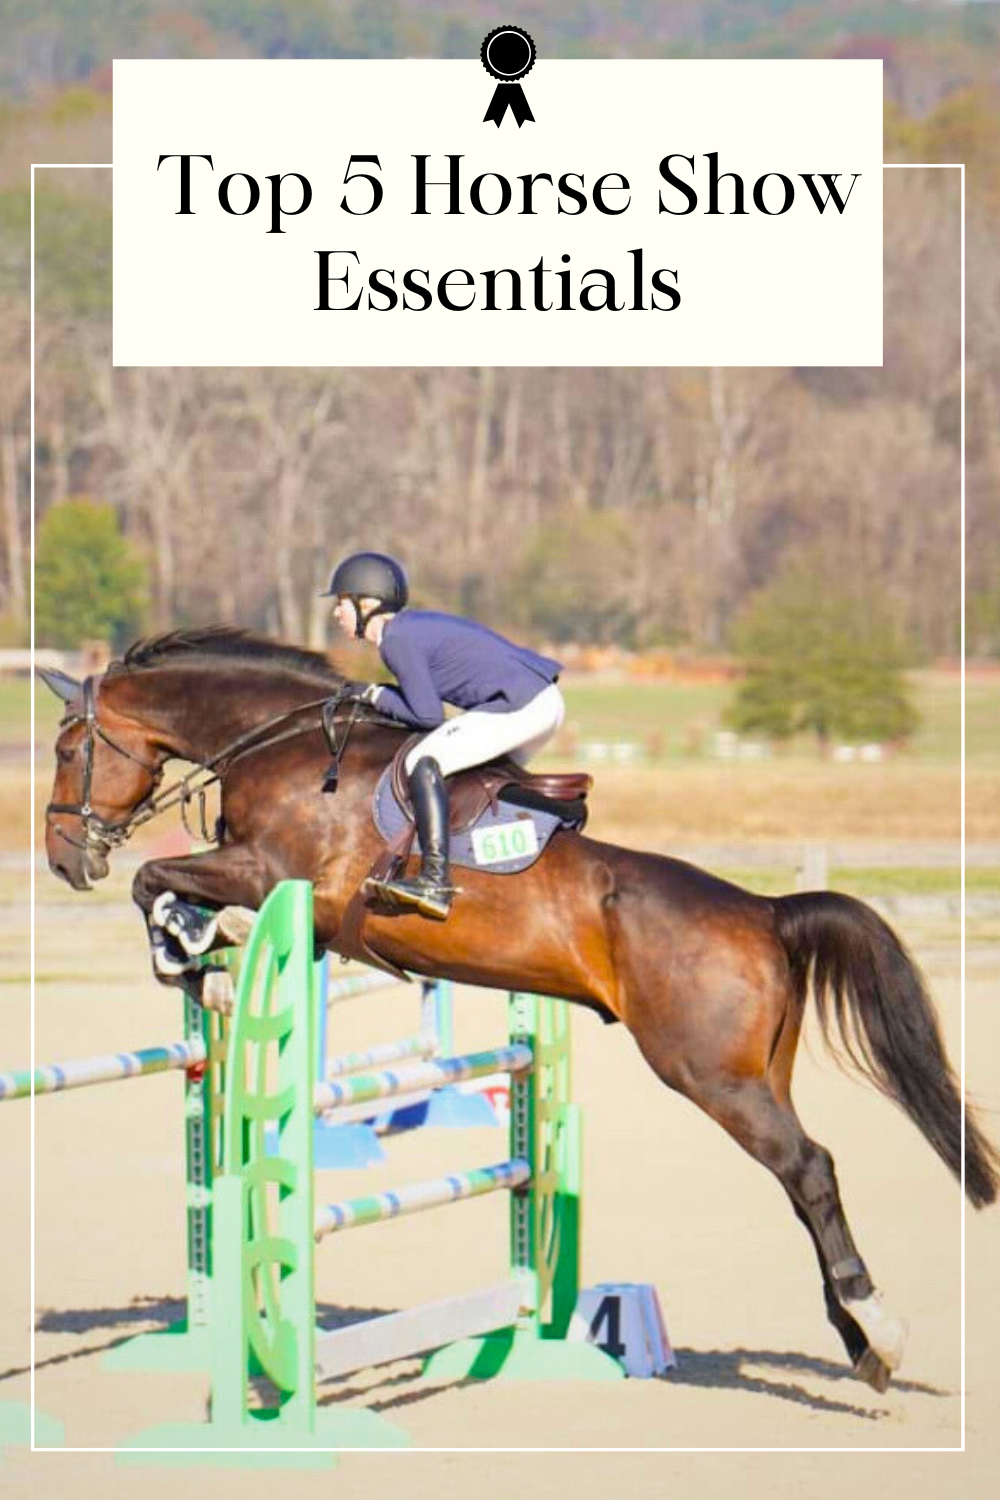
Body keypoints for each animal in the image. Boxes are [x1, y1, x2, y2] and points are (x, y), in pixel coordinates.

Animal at [40, 628, 998, 1393]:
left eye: (64, 746)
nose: (60, 857)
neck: (282, 749)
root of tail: (766, 910)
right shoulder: (287, 903)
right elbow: (173, 889)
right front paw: (202, 952)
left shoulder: (274, 875)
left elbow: (155, 879)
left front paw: (189, 954)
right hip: (759, 1073)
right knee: (804, 1181)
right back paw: (854, 1336)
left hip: (710, 1076)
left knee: (808, 1168)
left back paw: (878, 1331)